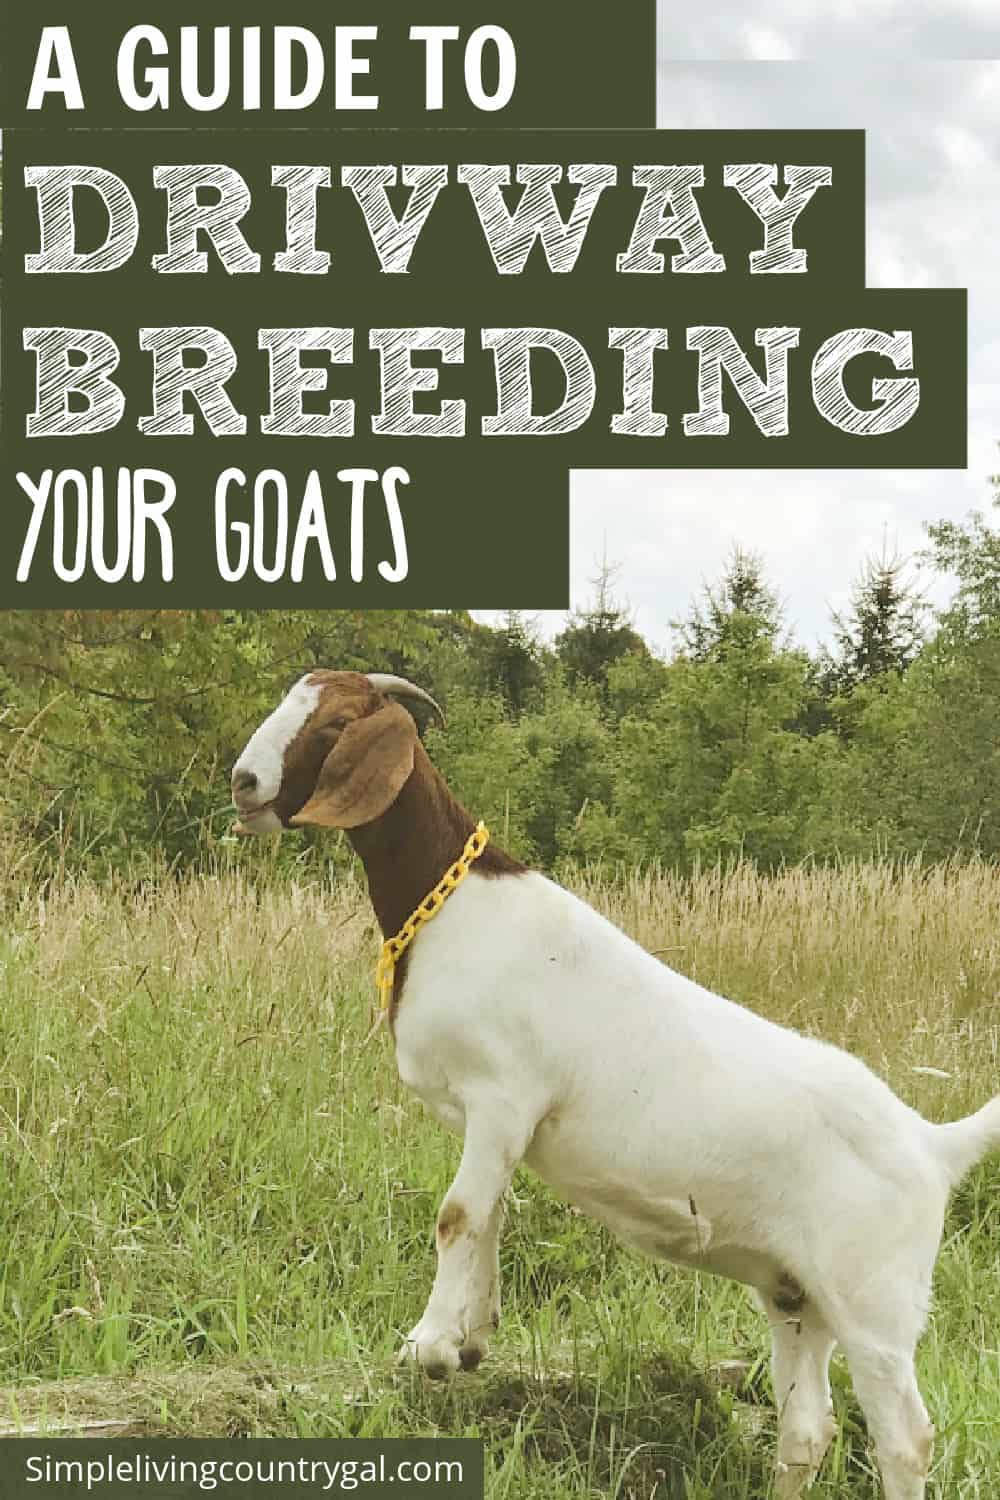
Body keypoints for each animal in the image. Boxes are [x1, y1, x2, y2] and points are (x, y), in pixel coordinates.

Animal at [232, 669, 1000, 1500]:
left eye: (334, 723)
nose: (244, 783)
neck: (453, 909)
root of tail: (933, 1144)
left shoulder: (504, 1096)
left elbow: (458, 1216)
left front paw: (427, 1346)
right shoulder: (495, 1123)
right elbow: (491, 1216)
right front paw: (472, 1340)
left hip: (876, 1302)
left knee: (904, 1438)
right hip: (797, 1295)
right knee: (807, 1431)